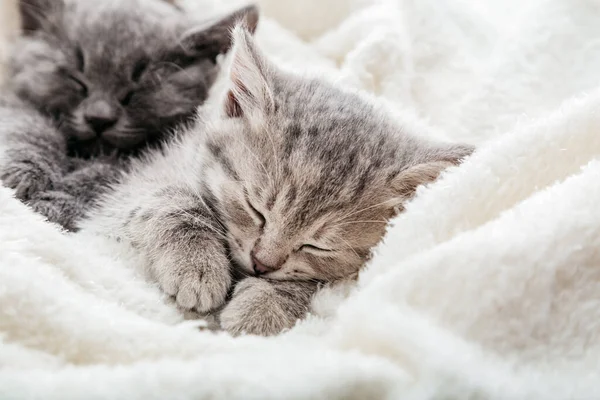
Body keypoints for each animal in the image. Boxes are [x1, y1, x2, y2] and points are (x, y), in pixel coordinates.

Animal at [0, 0, 258, 231]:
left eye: (135, 91)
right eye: (77, 80)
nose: (99, 119)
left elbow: (101, 177)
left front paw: (53, 204)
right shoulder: (15, 99)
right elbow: (30, 128)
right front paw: (22, 175)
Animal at [79, 26, 474, 336]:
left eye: (318, 246)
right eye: (255, 208)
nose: (263, 264)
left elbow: (311, 283)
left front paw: (262, 307)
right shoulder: (133, 187)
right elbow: (171, 200)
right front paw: (196, 266)